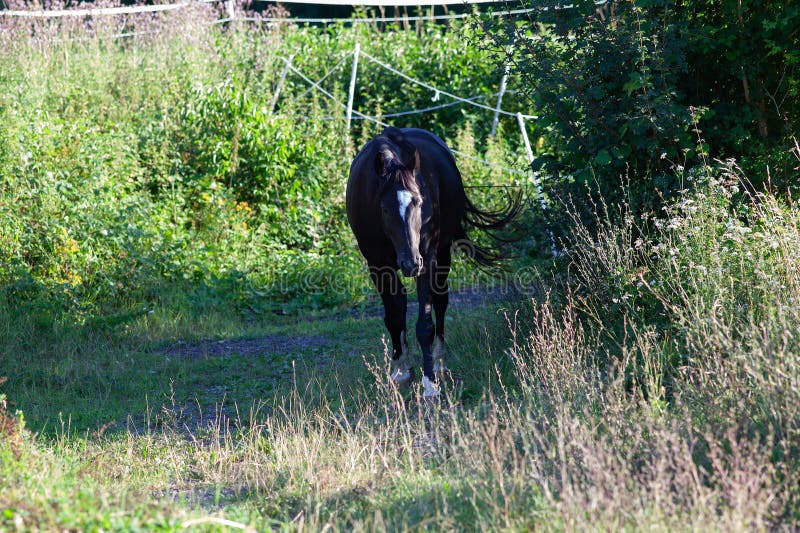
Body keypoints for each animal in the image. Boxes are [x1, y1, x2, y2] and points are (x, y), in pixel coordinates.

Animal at [346, 127, 520, 399]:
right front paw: (401, 371)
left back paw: (439, 364)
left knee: (440, 301)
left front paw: (429, 384)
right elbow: (393, 315)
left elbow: (425, 325)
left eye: (418, 202)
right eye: (384, 209)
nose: (410, 262)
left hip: (443, 254)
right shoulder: (378, 265)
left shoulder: (427, 260)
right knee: (401, 304)